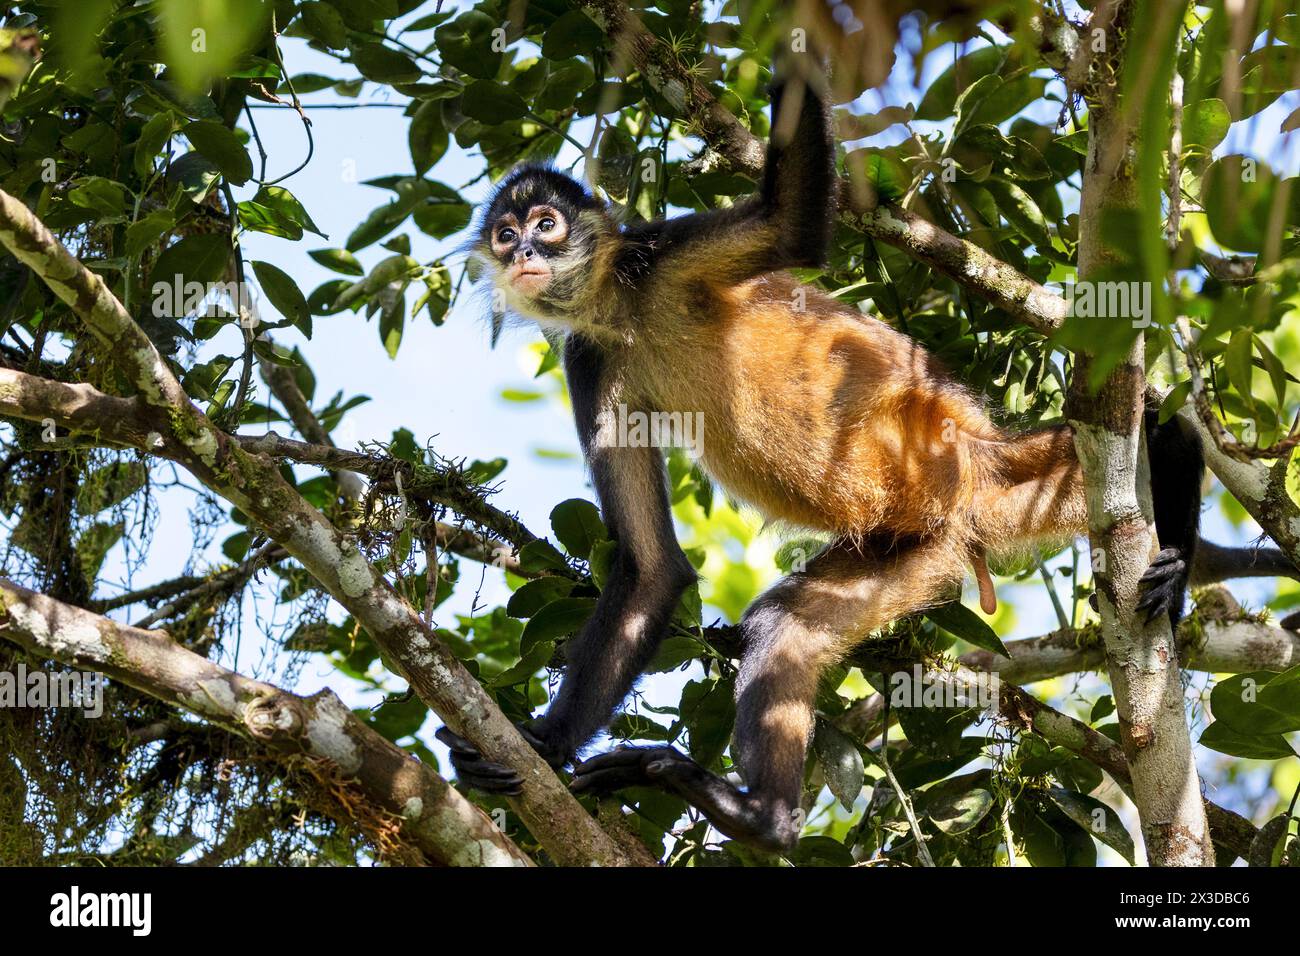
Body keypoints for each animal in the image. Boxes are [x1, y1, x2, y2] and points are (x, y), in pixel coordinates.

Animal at [436, 63, 1300, 851]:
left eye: (545, 222)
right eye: (503, 235)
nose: (522, 253)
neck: (626, 306)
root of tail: (973, 467)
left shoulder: (660, 253)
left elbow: (790, 222)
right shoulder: (591, 358)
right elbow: (651, 569)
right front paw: (543, 742)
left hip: (953, 460)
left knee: (1156, 420)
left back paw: (1174, 575)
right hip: (915, 550)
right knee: (782, 627)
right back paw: (763, 818)